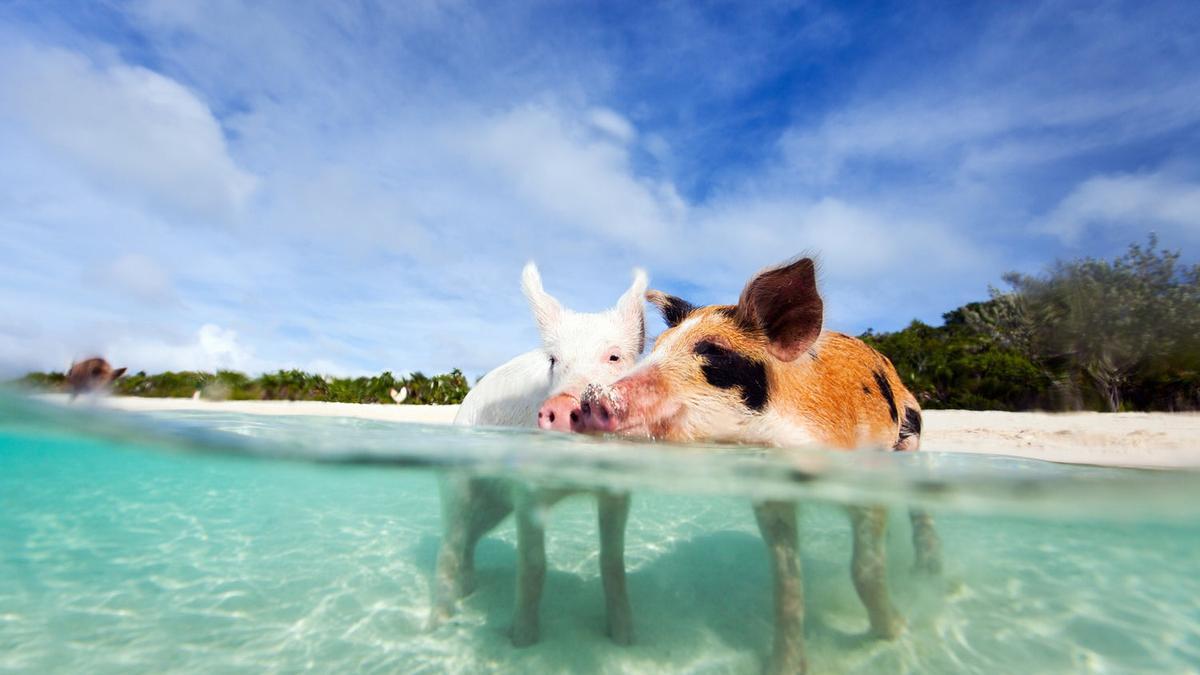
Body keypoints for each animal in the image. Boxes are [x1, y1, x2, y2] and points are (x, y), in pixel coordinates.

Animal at [430, 262, 647, 647]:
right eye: (554, 360)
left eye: (614, 356)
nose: (560, 405)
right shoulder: (527, 490)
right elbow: (533, 564)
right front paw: (522, 640)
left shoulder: (616, 490)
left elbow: (612, 562)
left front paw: (625, 638)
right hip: (458, 480)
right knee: (450, 543)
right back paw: (437, 625)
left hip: (495, 505)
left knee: (470, 537)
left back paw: (469, 590)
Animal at [574, 257, 942, 674]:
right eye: (658, 348)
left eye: (714, 353)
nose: (592, 397)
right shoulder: (771, 498)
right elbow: (787, 583)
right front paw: (785, 666)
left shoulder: (866, 477)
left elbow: (864, 568)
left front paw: (894, 632)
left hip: (911, 435)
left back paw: (927, 573)